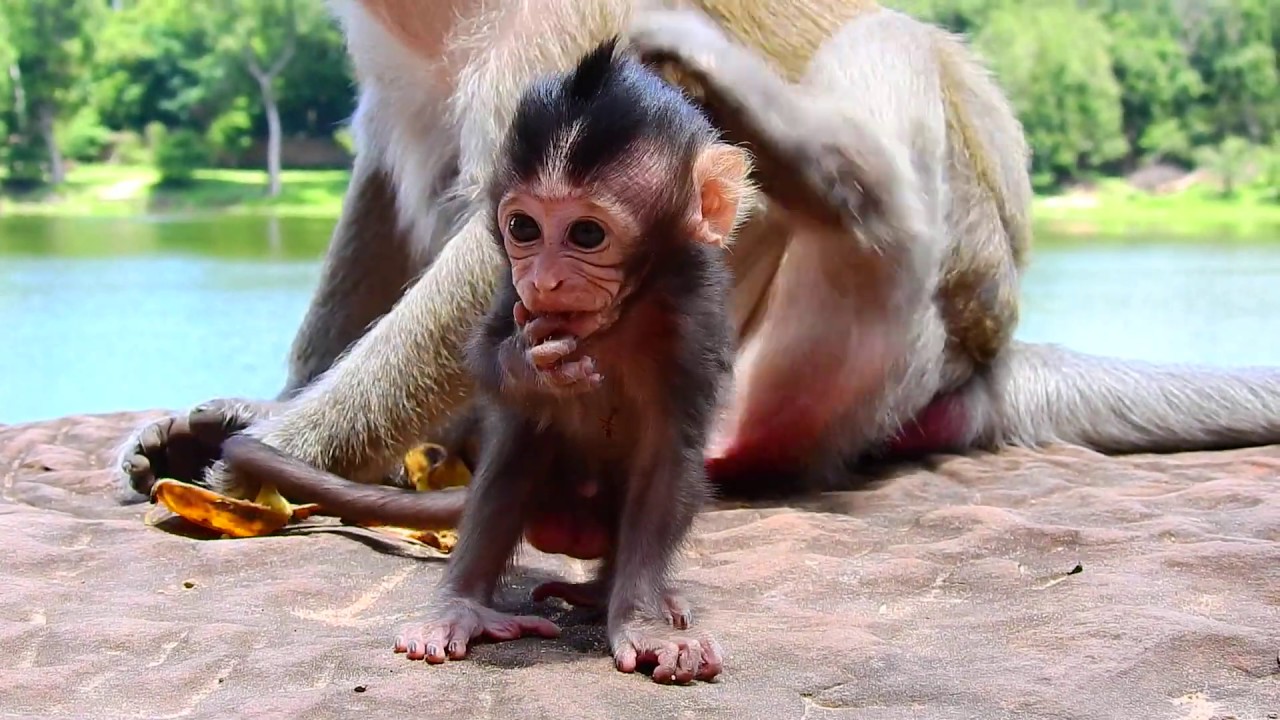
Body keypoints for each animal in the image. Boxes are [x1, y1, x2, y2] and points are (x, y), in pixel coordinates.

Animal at [116, 1, 1280, 518]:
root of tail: (981, 359)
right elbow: (380, 180)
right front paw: (255, 408)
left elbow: (516, 236)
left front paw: (281, 446)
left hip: (850, 354)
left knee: (892, 44)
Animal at [222, 41, 746, 683]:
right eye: (522, 227)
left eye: (587, 234)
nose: (543, 280)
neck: (618, 316)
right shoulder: (508, 292)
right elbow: (479, 355)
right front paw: (528, 363)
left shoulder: (696, 316)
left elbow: (669, 459)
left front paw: (645, 622)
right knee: (513, 460)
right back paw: (462, 608)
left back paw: (603, 596)